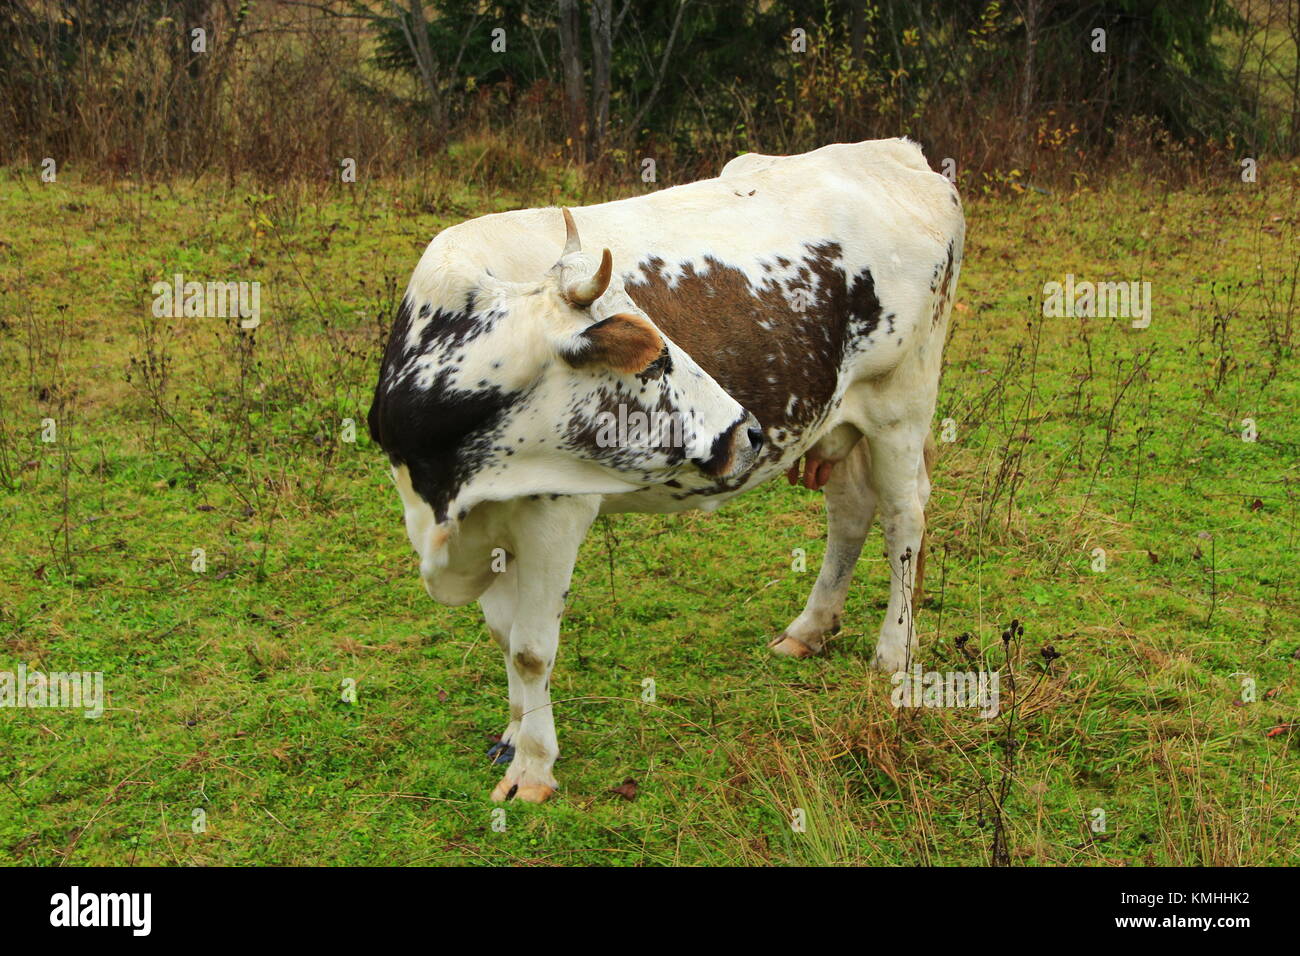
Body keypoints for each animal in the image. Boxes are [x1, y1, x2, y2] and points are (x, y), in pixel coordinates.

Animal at [367, 138, 964, 802]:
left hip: (901, 402)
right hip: (839, 417)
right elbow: (503, 635)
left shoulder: (554, 511)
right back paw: (810, 627)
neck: (447, 497)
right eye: (653, 360)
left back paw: (894, 654)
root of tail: (897, 153)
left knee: (903, 519)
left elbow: (530, 648)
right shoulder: (485, 524)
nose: (746, 430)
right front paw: (513, 736)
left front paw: (534, 768)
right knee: (852, 510)